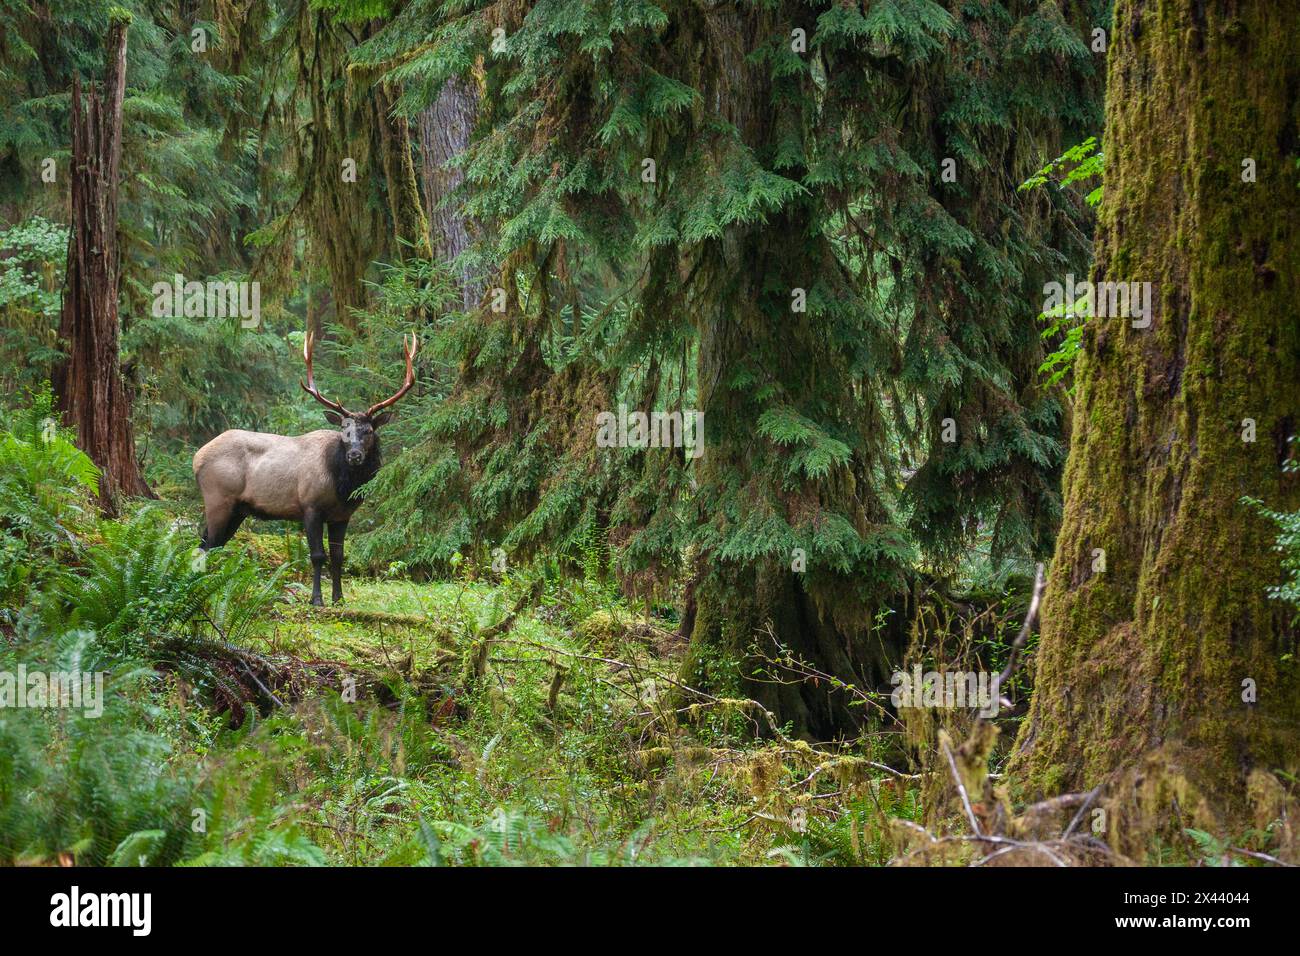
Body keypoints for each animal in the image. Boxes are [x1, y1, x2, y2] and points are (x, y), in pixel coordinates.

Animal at [193, 330, 417, 606]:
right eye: (344, 429)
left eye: (369, 431)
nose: (354, 455)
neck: (341, 486)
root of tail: (197, 458)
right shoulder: (310, 506)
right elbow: (317, 555)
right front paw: (317, 599)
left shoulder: (342, 516)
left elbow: (338, 557)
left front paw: (339, 599)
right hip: (218, 499)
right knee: (207, 544)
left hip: (238, 509)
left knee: (213, 545)